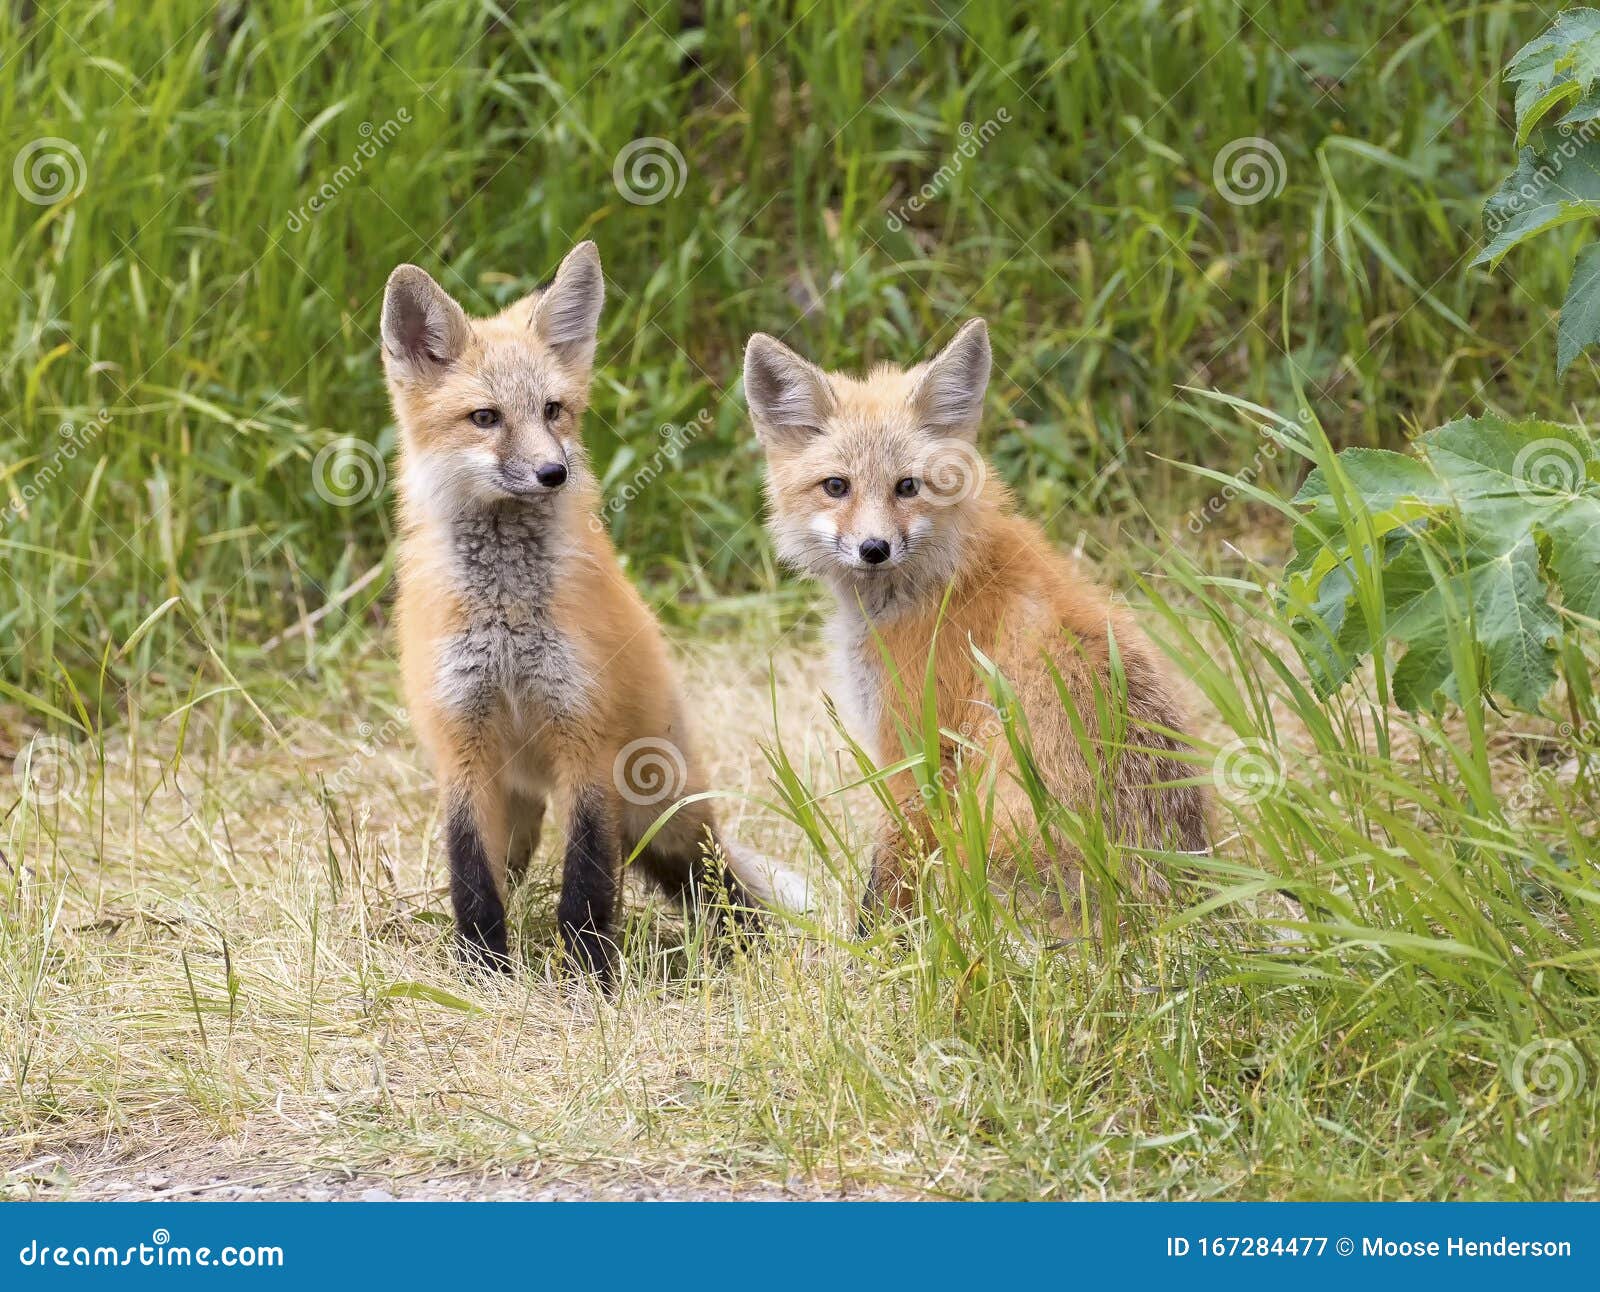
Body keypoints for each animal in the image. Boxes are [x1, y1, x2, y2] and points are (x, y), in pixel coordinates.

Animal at [381, 241, 799, 979]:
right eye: (485, 418)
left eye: (554, 410)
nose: (554, 473)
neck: (509, 622)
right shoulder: (461, 745)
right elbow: (471, 878)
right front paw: (484, 969)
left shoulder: (587, 739)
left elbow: (586, 881)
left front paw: (590, 976)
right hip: (522, 811)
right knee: (512, 870)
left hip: (663, 812)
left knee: (719, 886)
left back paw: (747, 951)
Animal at [743, 319, 1209, 930]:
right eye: (836, 486)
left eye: (908, 486)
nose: (874, 549)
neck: (940, 578)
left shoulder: (916, 751)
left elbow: (887, 890)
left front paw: (872, 952)